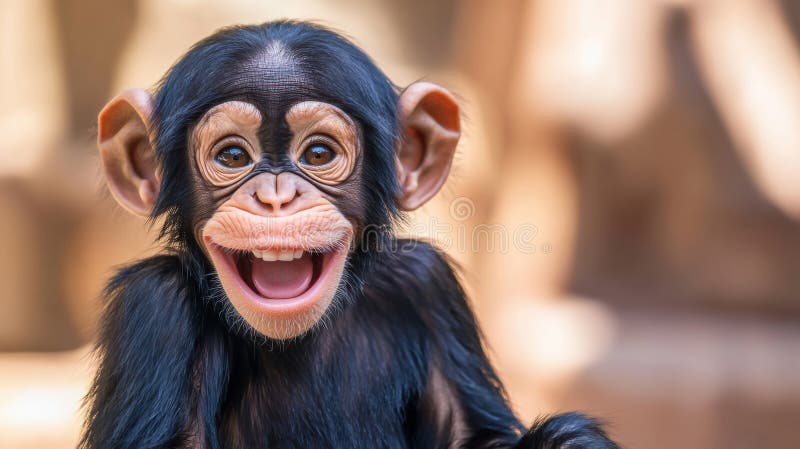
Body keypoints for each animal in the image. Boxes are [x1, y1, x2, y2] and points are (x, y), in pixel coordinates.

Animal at [82, 21, 620, 449]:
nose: (276, 197)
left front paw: (570, 442)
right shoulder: (154, 307)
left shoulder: (427, 283)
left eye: (318, 154)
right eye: (232, 156)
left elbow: (473, 438)